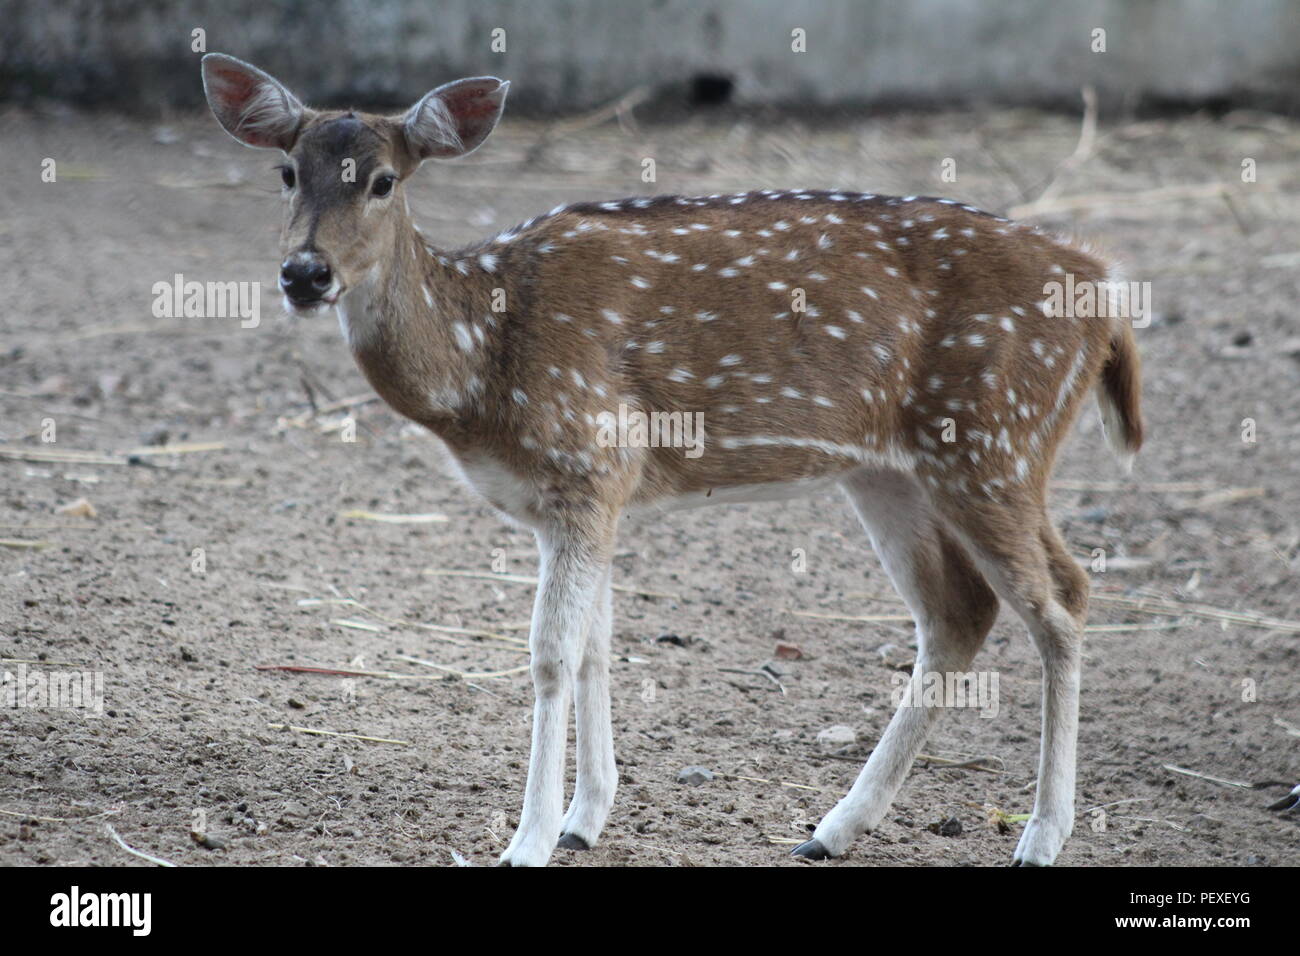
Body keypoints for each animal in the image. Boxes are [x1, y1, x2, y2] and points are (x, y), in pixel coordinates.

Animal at [201, 53, 1144, 867]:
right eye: (287, 173)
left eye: (384, 181)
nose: (304, 273)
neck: (481, 368)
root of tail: (1103, 297)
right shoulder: (581, 499)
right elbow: (596, 645)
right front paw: (584, 819)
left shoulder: (589, 459)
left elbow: (550, 653)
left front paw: (528, 841)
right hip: (893, 470)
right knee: (959, 612)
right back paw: (832, 829)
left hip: (996, 441)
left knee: (1062, 599)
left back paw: (1040, 836)